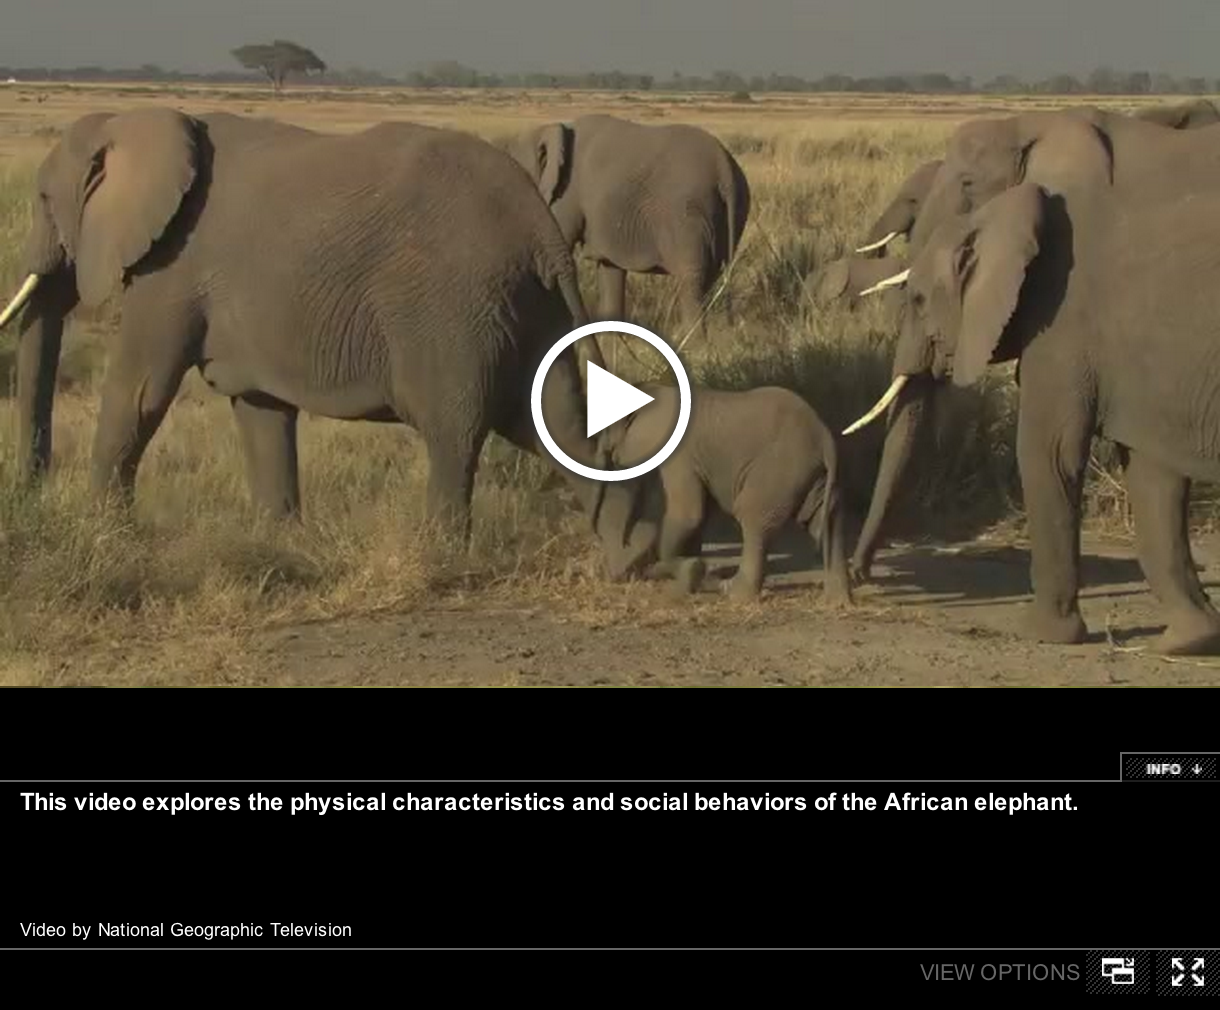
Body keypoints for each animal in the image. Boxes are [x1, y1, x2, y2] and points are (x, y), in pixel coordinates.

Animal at [0, 109, 657, 577]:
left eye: (43, 201)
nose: (29, 492)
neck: (139, 120)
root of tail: (540, 225)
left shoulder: (172, 267)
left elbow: (139, 392)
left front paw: (102, 535)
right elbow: (261, 412)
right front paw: (280, 543)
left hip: (454, 307)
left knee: (454, 430)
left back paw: (438, 558)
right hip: (526, 299)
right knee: (558, 424)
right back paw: (626, 557)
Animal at [507, 114, 750, 345]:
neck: (554, 129)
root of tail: (724, 168)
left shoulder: (567, 194)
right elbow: (609, 269)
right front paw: (611, 341)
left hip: (687, 213)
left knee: (691, 277)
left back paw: (689, 342)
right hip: (731, 210)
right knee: (712, 276)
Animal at [597, 383, 852, 603]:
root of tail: (824, 436)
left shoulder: (677, 456)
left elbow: (688, 514)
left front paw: (689, 571)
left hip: (781, 467)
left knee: (752, 515)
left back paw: (733, 592)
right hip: (811, 473)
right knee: (826, 519)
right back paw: (838, 600)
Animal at [841, 107, 1220, 654]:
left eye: (969, 183)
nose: (855, 579)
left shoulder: (1068, 303)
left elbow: (1048, 450)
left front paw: (1041, 635)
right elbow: (1152, 471)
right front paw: (1185, 641)